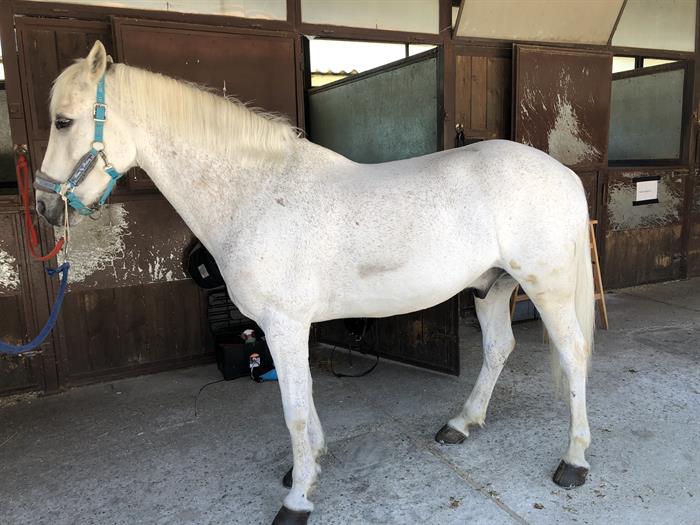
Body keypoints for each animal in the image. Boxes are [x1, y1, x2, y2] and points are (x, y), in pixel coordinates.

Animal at [37, 42, 596, 524]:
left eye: (64, 121)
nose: (44, 206)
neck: (258, 194)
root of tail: (563, 174)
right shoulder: (287, 327)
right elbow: (303, 398)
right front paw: (309, 466)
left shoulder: (283, 325)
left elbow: (294, 410)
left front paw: (298, 499)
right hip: (491, 287)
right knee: (499, 348)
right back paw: (462, 424)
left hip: (546, 287)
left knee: (573, 353)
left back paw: (574, 462)